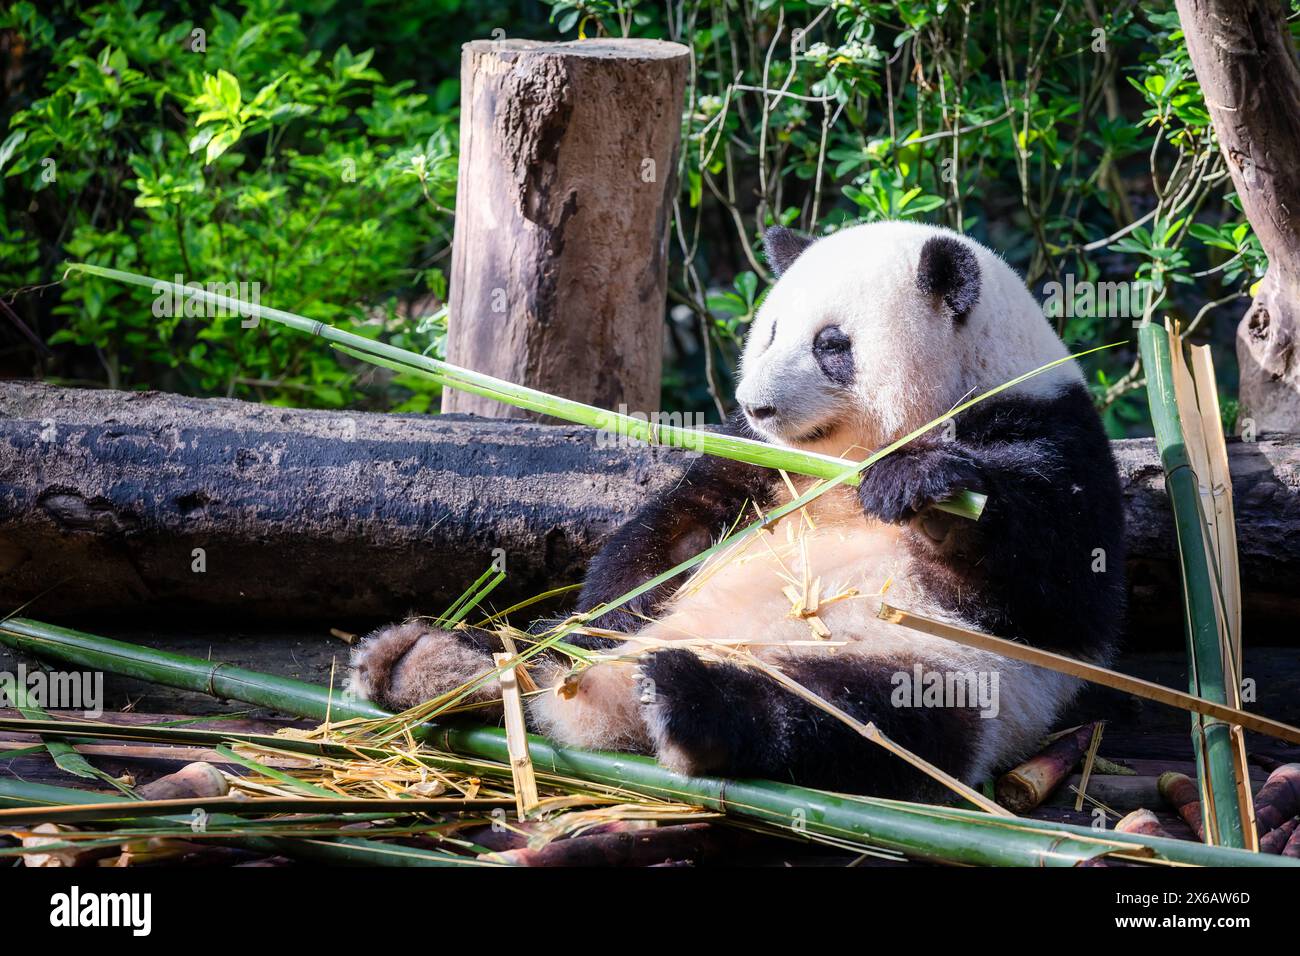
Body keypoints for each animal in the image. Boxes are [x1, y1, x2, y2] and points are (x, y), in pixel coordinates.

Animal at [348, 220, 1126, 800]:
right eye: (770, 330)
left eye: (832, 344)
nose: (759, 404)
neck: (846, 459)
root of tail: (600, 708)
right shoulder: (763, 466)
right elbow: (671, 531)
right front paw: (613, 599)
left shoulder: (1050, 432)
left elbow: (1048, 579)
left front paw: (920, 486)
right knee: (542, 648)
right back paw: (426, 660)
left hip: (942, 675)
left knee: (850, 718)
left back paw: (682, 699)